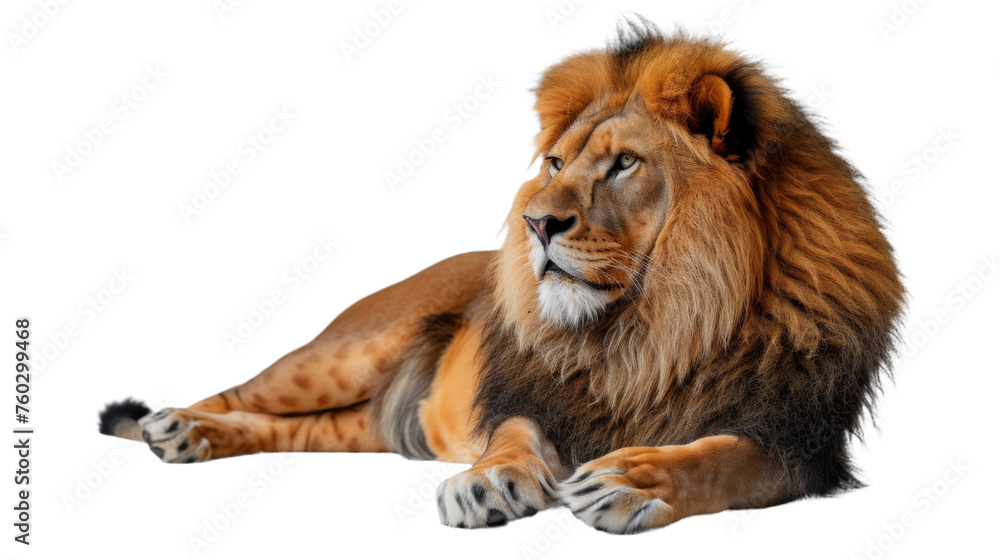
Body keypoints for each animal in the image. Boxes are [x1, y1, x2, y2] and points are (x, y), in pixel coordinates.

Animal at [99, 22, 904, 534]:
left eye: (624, 164)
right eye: (556, 163)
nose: (537, 223)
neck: (654, 327)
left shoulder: (799, 441)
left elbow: (721, 458)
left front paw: (631, 477)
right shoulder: (530, 394)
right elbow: (513, 436)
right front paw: (487, 483)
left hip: (365, 424)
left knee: (297, 431)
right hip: (346, 350)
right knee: (242, 392)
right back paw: (177, 427)